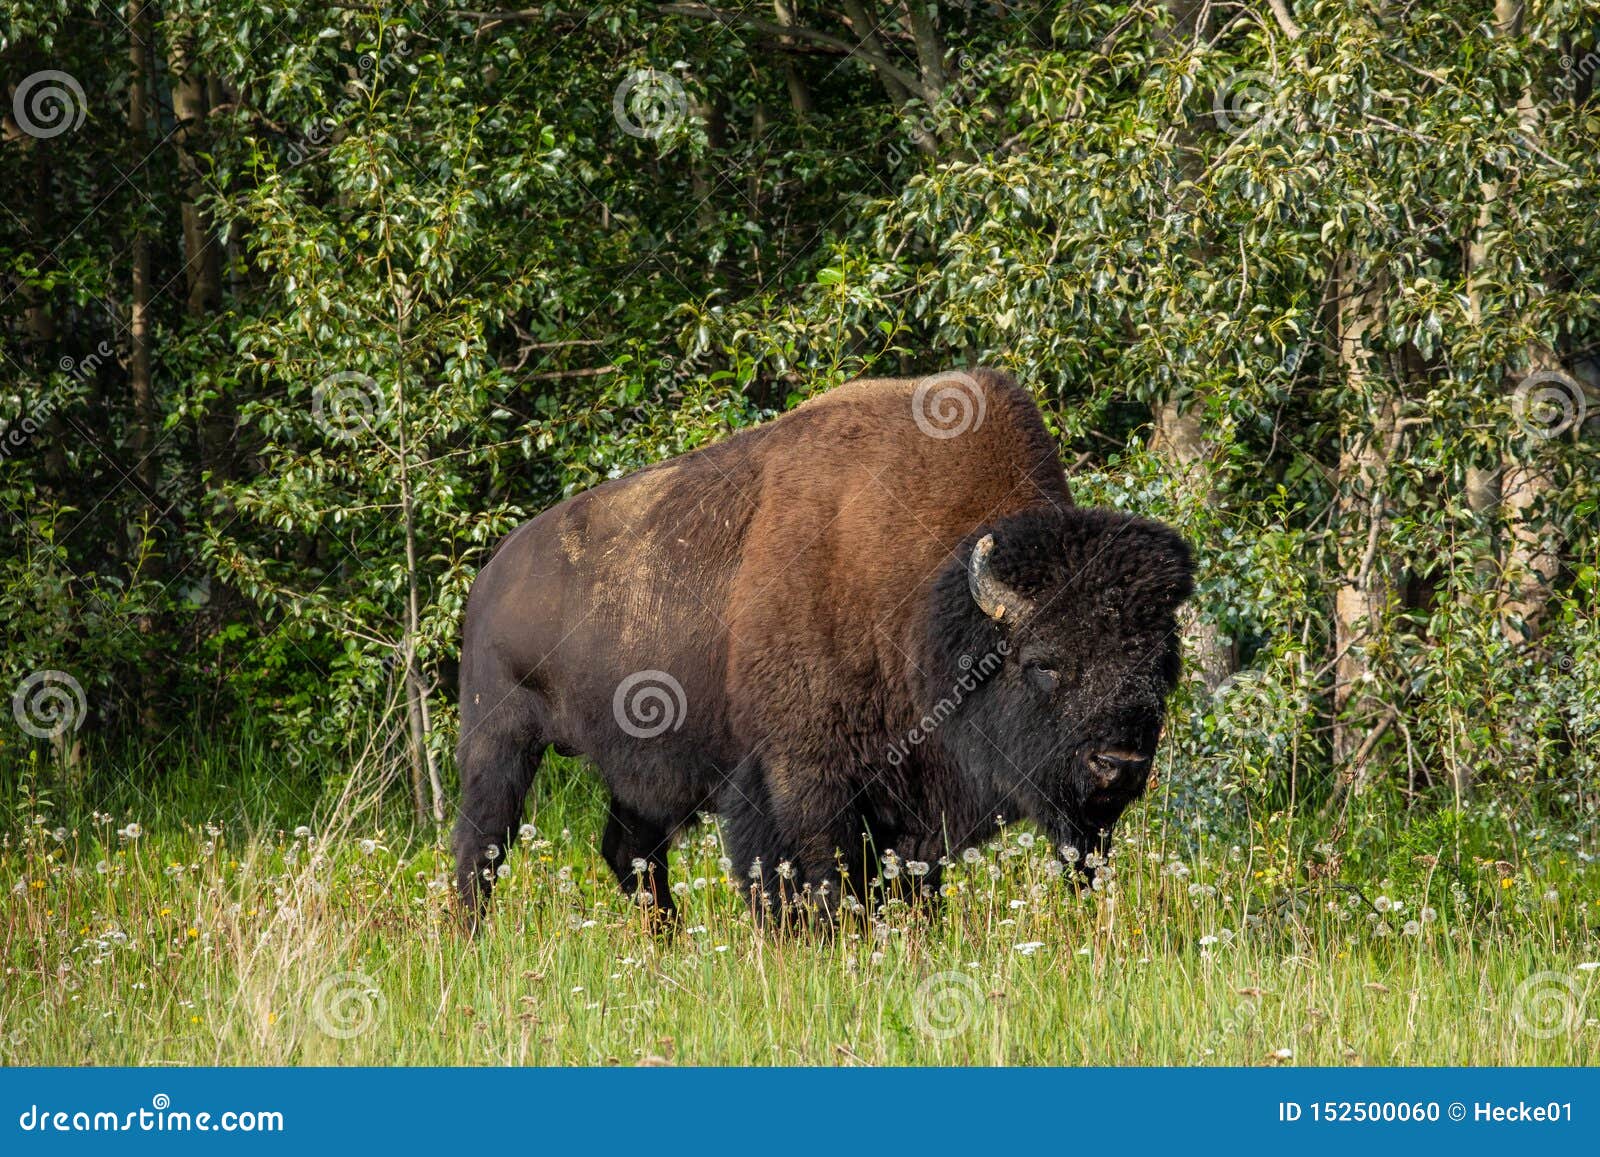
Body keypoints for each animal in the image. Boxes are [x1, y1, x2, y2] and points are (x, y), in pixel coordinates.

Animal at [453, 368, 1194, 921]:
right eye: (1043, 663)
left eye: (1162, 668)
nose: (1119, 765)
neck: (928, 601)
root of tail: (491, 575)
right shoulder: (802, 780)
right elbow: (814, 879)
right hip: (500, 739)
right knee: (479, 849)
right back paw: (469, 940)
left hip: (638, 769)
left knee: (629, 852)